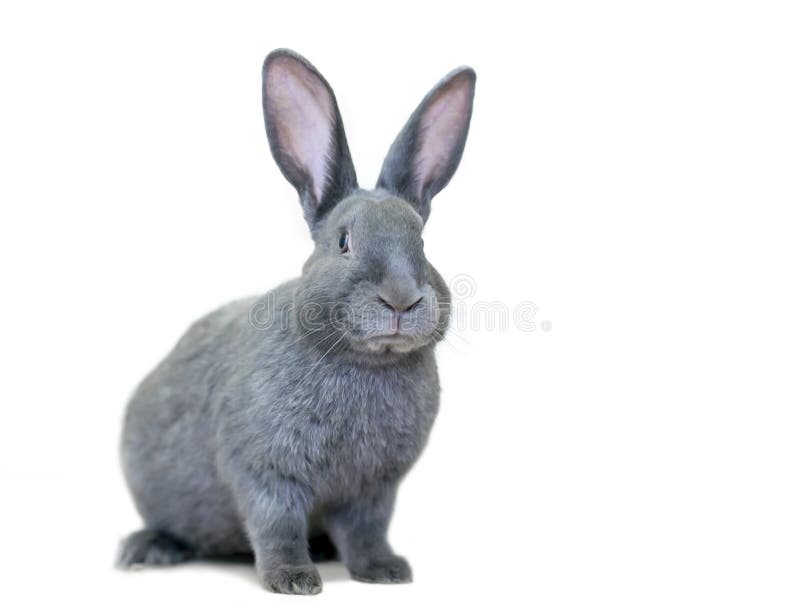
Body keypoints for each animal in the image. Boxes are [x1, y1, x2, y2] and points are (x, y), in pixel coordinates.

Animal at [117, 48, 476, 595]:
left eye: (421, 241)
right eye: (343, 241)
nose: (401, 300)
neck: (364, 363)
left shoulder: (372, 489)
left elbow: (367, 531)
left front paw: (385, 571)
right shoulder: (266, 474)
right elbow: (277, 526)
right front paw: (293, 580)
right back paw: (146, 550)